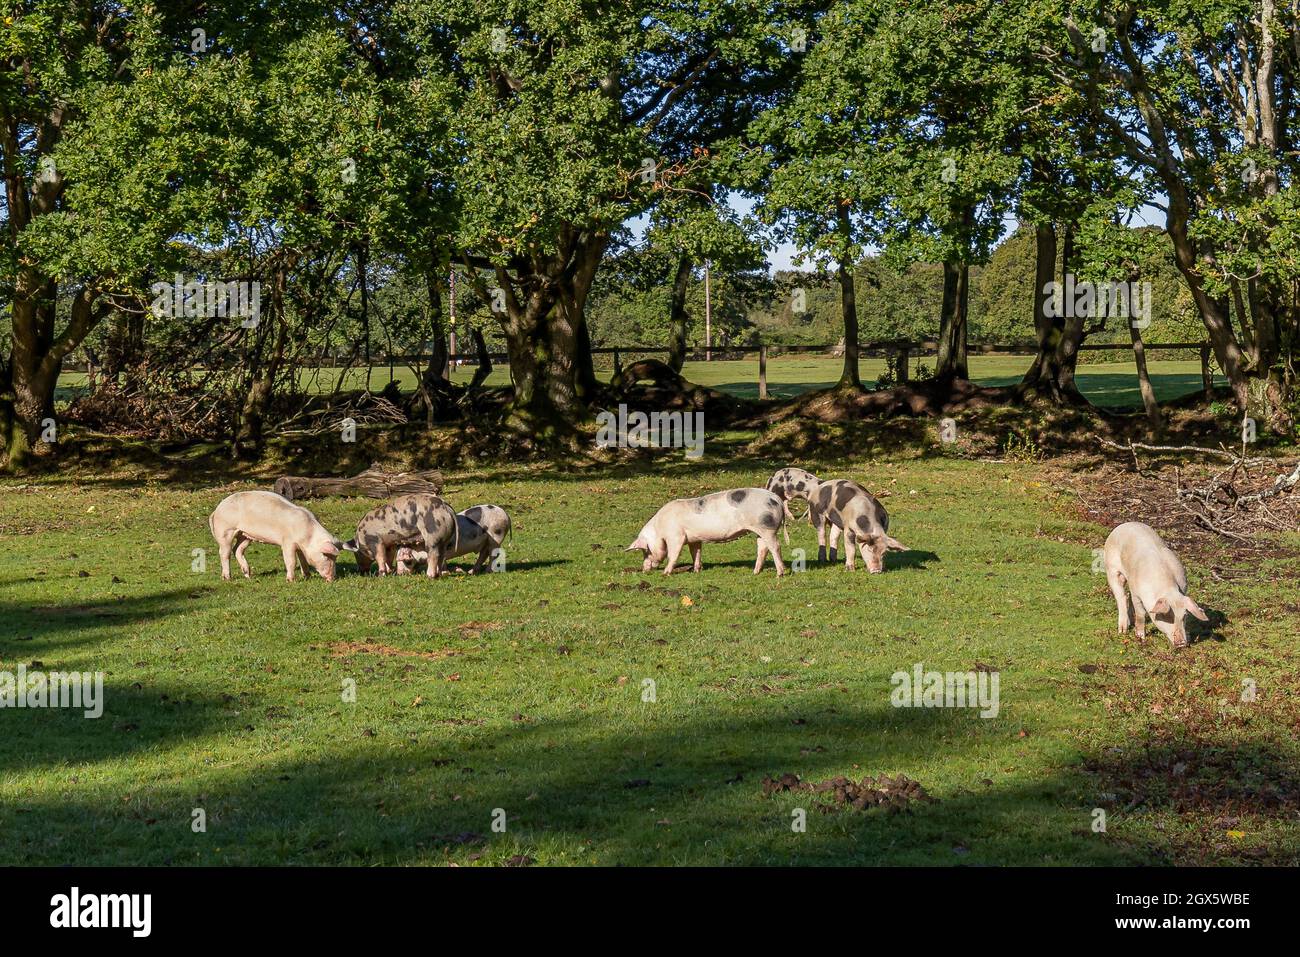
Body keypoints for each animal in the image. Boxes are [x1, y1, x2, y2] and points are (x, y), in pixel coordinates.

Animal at [208, 490, 344, 582]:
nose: (333, 578)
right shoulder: (287, 542)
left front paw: (307, 577)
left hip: (245, 535)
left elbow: (303, 561)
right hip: (225, 531)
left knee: (237, 549)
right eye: (326, 556)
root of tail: (216, 510)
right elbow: (291, 561)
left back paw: (248, 575)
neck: (308, 536)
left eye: (335, 558)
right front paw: (291, 581)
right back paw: (227, 578)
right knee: (224, 553)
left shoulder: (301, 547)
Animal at [626, 488, 786, 575]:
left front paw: (666, 573)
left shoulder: (675, 536)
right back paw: (755, 572)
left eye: (645, 551)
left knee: (776, 546)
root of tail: (776, 499)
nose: (644, 570)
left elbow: (673, 554)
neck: (659, 528)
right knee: (763, 548)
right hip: (760, 530)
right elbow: (695, 552)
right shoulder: (694, 538)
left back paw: (780, 573)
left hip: (767, 527)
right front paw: (696, 570)